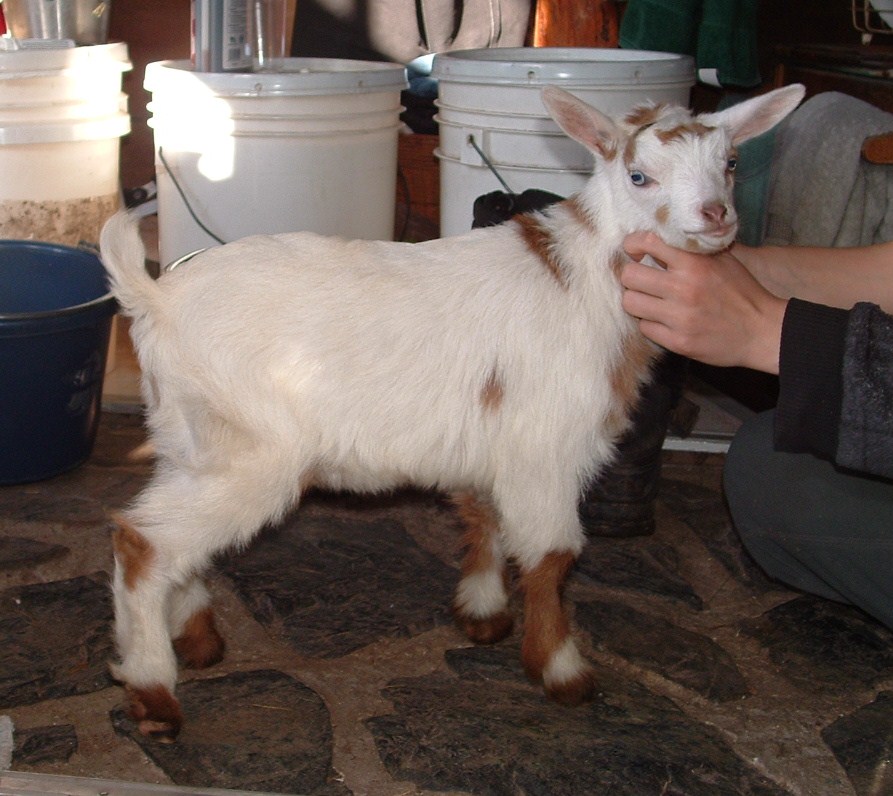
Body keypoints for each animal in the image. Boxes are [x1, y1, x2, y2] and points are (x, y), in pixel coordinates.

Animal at [100, 83, 805, 740]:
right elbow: (553, 557)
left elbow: (484, 517)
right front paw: (562, 670)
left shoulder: (492, 446)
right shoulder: (546, 450)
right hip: (251, 452)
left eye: (732, 162)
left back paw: (196, 639)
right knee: (145, 542)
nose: (716, 216)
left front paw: (483, 613)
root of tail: (153, 298)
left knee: (171, 536)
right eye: (640, 175)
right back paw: (153, 691)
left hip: (190, 441)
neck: (582, 282)